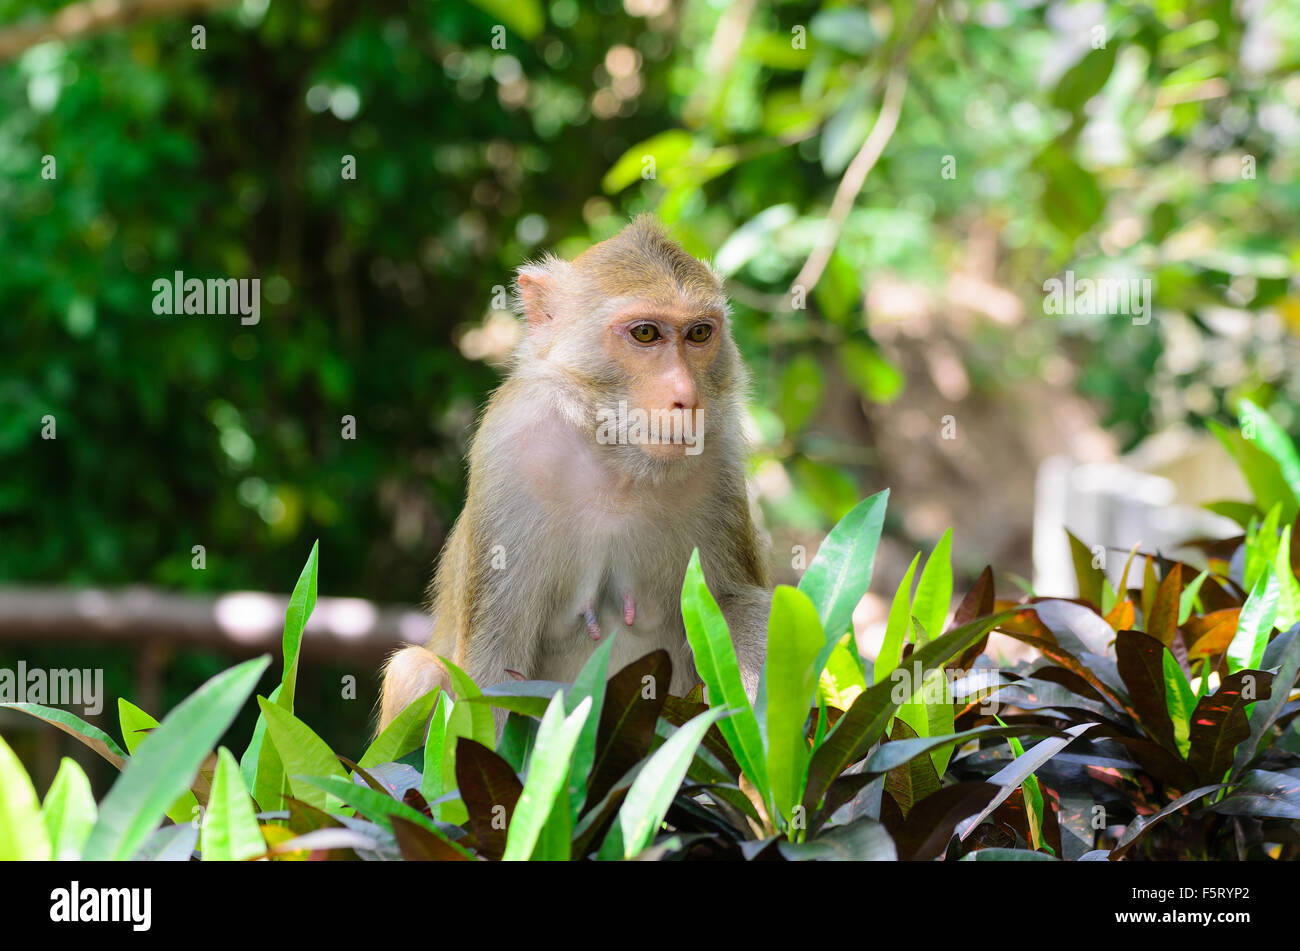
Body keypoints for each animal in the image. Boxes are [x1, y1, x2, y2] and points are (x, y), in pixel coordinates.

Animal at [378, 215, 772, 731]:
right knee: (416, 670)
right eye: (646, 334)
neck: (616, 461)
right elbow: (493, 664)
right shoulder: (509, 448)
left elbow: (737, 605)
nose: (686, 397)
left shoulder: (720, 457)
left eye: (700, 334)